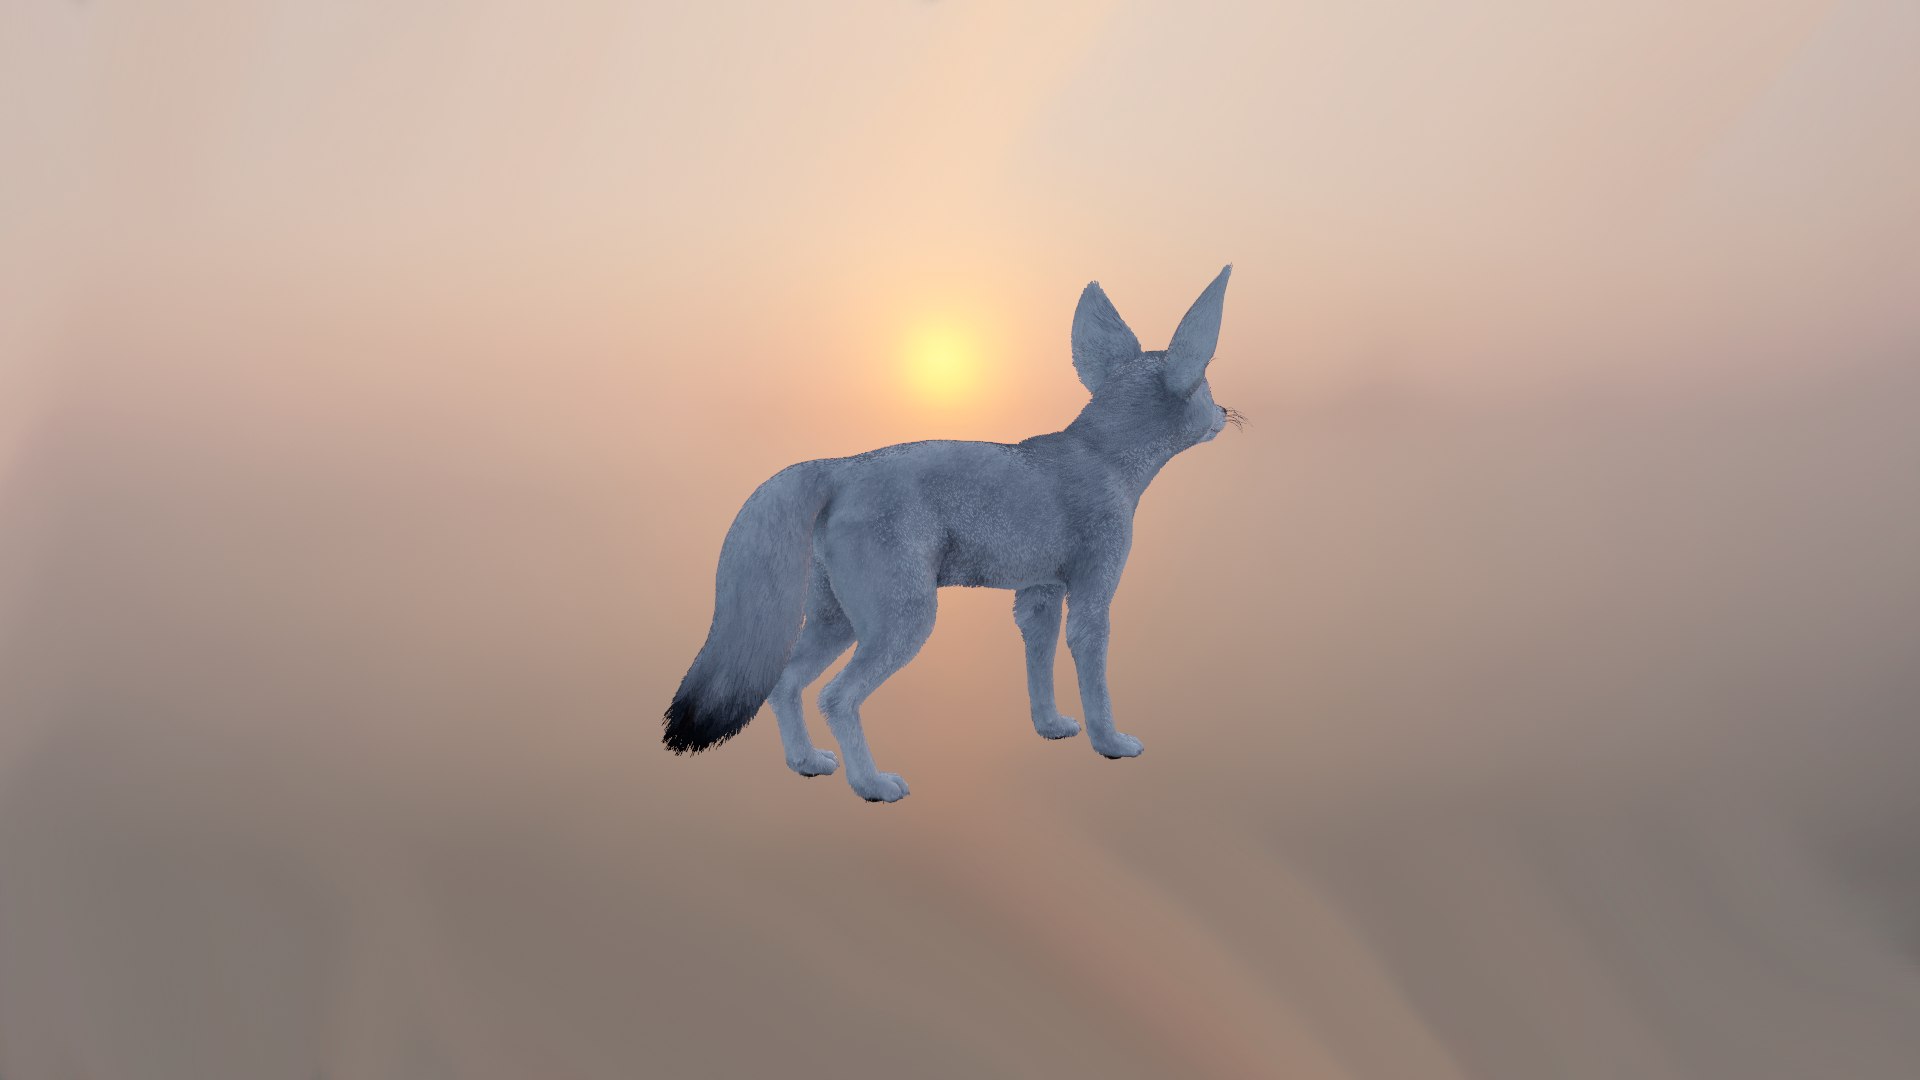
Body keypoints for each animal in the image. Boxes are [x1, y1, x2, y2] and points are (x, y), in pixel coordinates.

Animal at [663, 265, 1240, 802]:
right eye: (1207, 388)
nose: (1225, 413)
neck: (1102, 454)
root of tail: (840, 466)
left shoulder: (1038, 597)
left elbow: (1039, 670)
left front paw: (1050, 726)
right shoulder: (1092, 596)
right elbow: (1094, 681)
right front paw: (1110, 742)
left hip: (837, 622)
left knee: (784, 683)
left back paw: (804, 761)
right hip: (904, 620)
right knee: (836, 697)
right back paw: (870, 784)